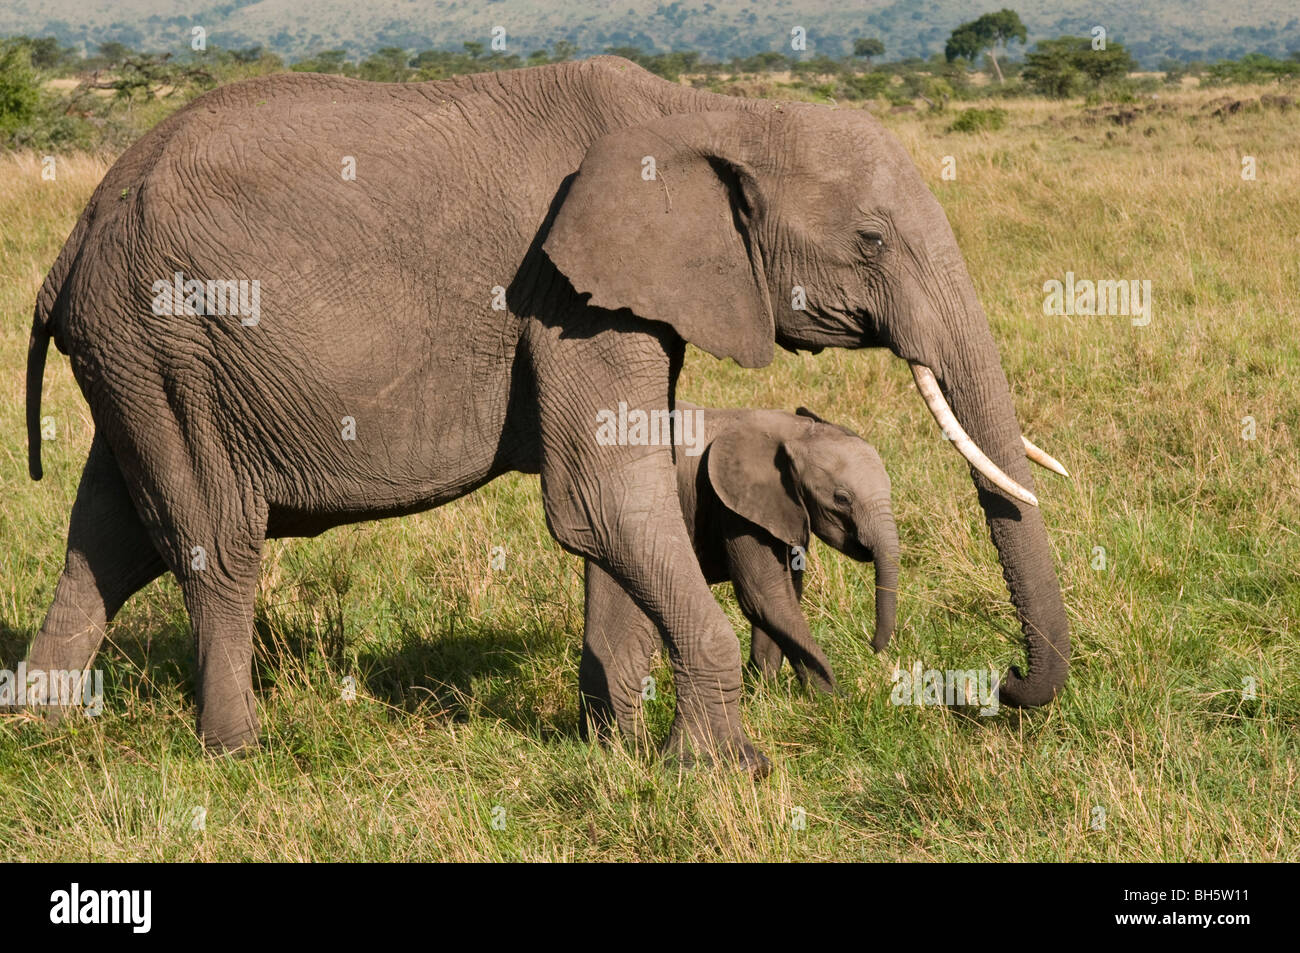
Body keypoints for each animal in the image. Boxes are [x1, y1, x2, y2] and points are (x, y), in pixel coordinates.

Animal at [579, 404, 899, 741]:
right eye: (842, 498)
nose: (872, 646)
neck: (793, 430)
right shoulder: (733, 505)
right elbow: (763, 595)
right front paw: (835, 699)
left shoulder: (779, 510)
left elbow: (784, 595)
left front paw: (763, 691)